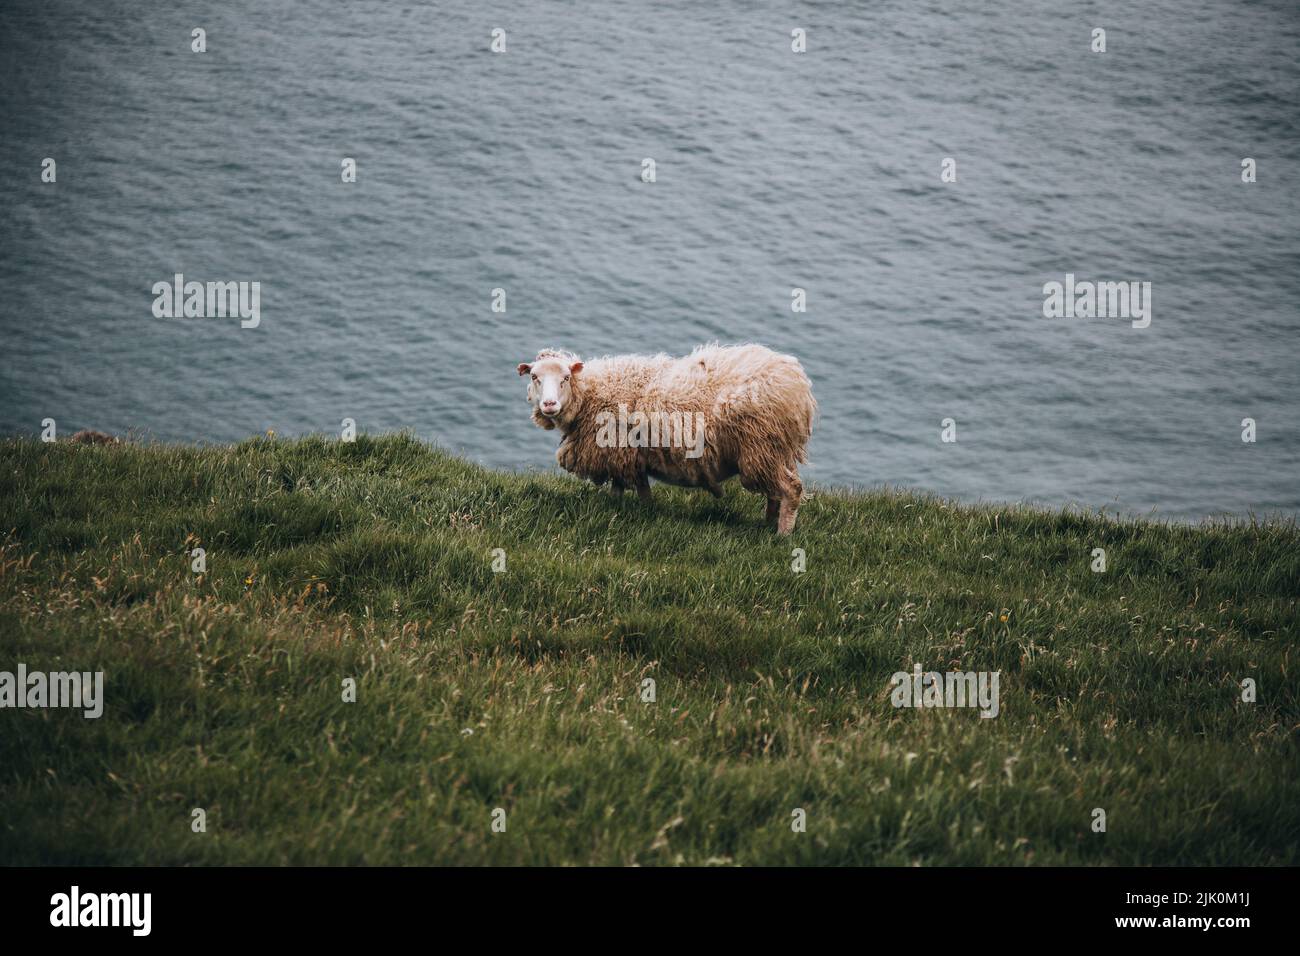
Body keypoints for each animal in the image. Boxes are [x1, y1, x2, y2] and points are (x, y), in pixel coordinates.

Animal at [518, 343, 816, 534]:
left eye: (566, 377)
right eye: (534, 376)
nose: (549, 405)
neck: (592, 392)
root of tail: (798, 387)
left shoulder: (617, 451)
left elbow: (625, 487)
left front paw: (625, 509)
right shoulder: (627, 456)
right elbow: (633, 487)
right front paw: (637, 509)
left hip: (762, 445)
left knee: (791, 489)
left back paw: (782, 535)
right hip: (772, 451)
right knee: (775, 492)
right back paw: (767, 524)